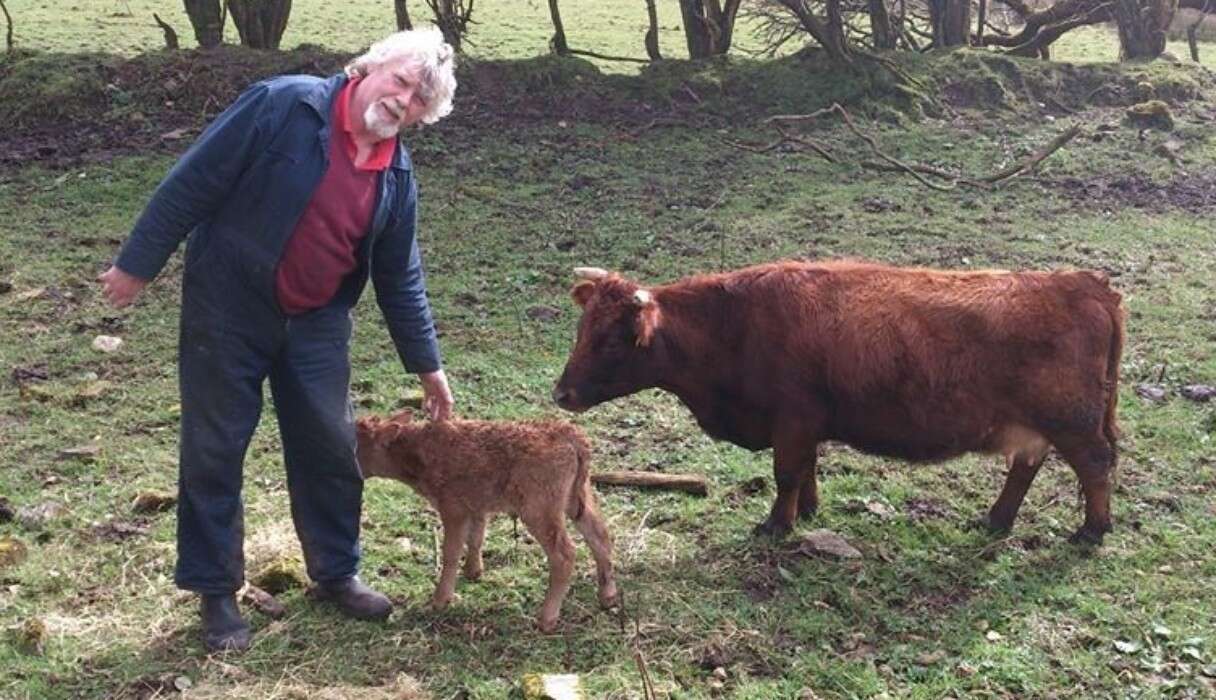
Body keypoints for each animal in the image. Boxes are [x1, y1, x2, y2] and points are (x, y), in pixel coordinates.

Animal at [552, 260, 1124, 544]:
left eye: (610, 342)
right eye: (581, 330)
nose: (562, 393)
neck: (734, 326)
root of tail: (1084, 283)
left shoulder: (792, 418)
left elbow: (787, 472)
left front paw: (776, 525)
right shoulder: (804, 424)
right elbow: (805, 469)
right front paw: (807, 511)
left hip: (1072, 420)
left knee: (1095, 464)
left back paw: (1091, 531)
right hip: (1037, 424)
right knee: (1026, 466)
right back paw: (996, 520)